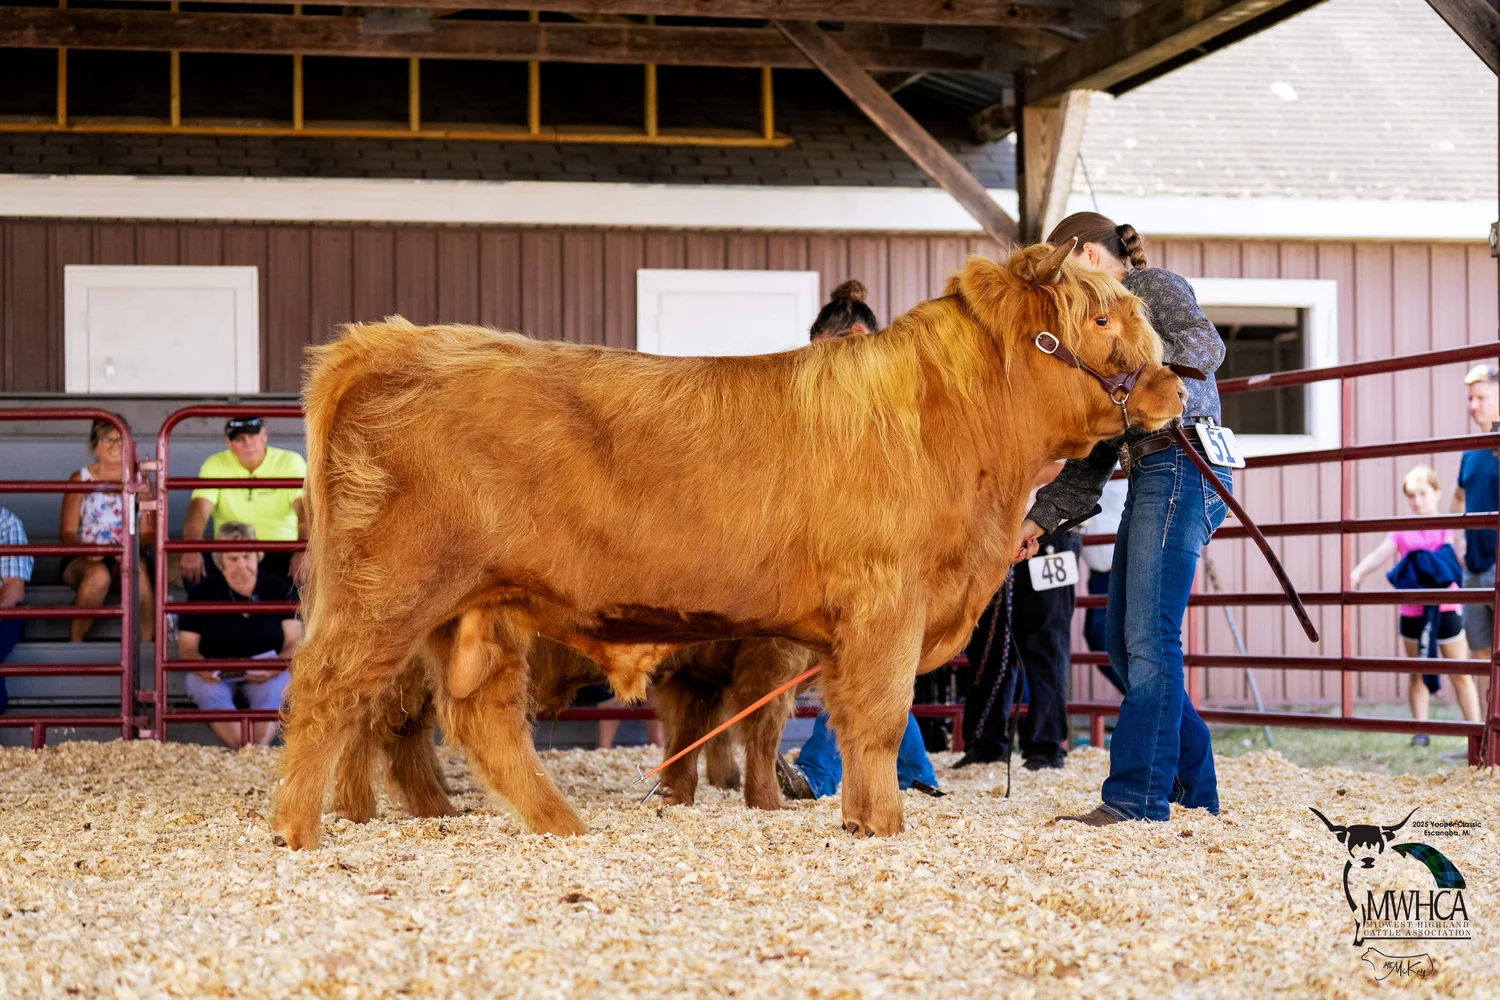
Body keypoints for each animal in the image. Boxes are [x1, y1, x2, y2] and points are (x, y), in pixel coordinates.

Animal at [272, 241, 1185, 849]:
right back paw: (302, 829)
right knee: (331, 695)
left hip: (473, 609)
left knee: (473, 717)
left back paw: (553, 824)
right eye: (1102, 316)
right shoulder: (886, 605)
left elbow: (832, 723)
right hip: (389, 588)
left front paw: (852, 816)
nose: (1175, 387)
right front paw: (883, 825)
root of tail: (385, 340)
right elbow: (880, 719)